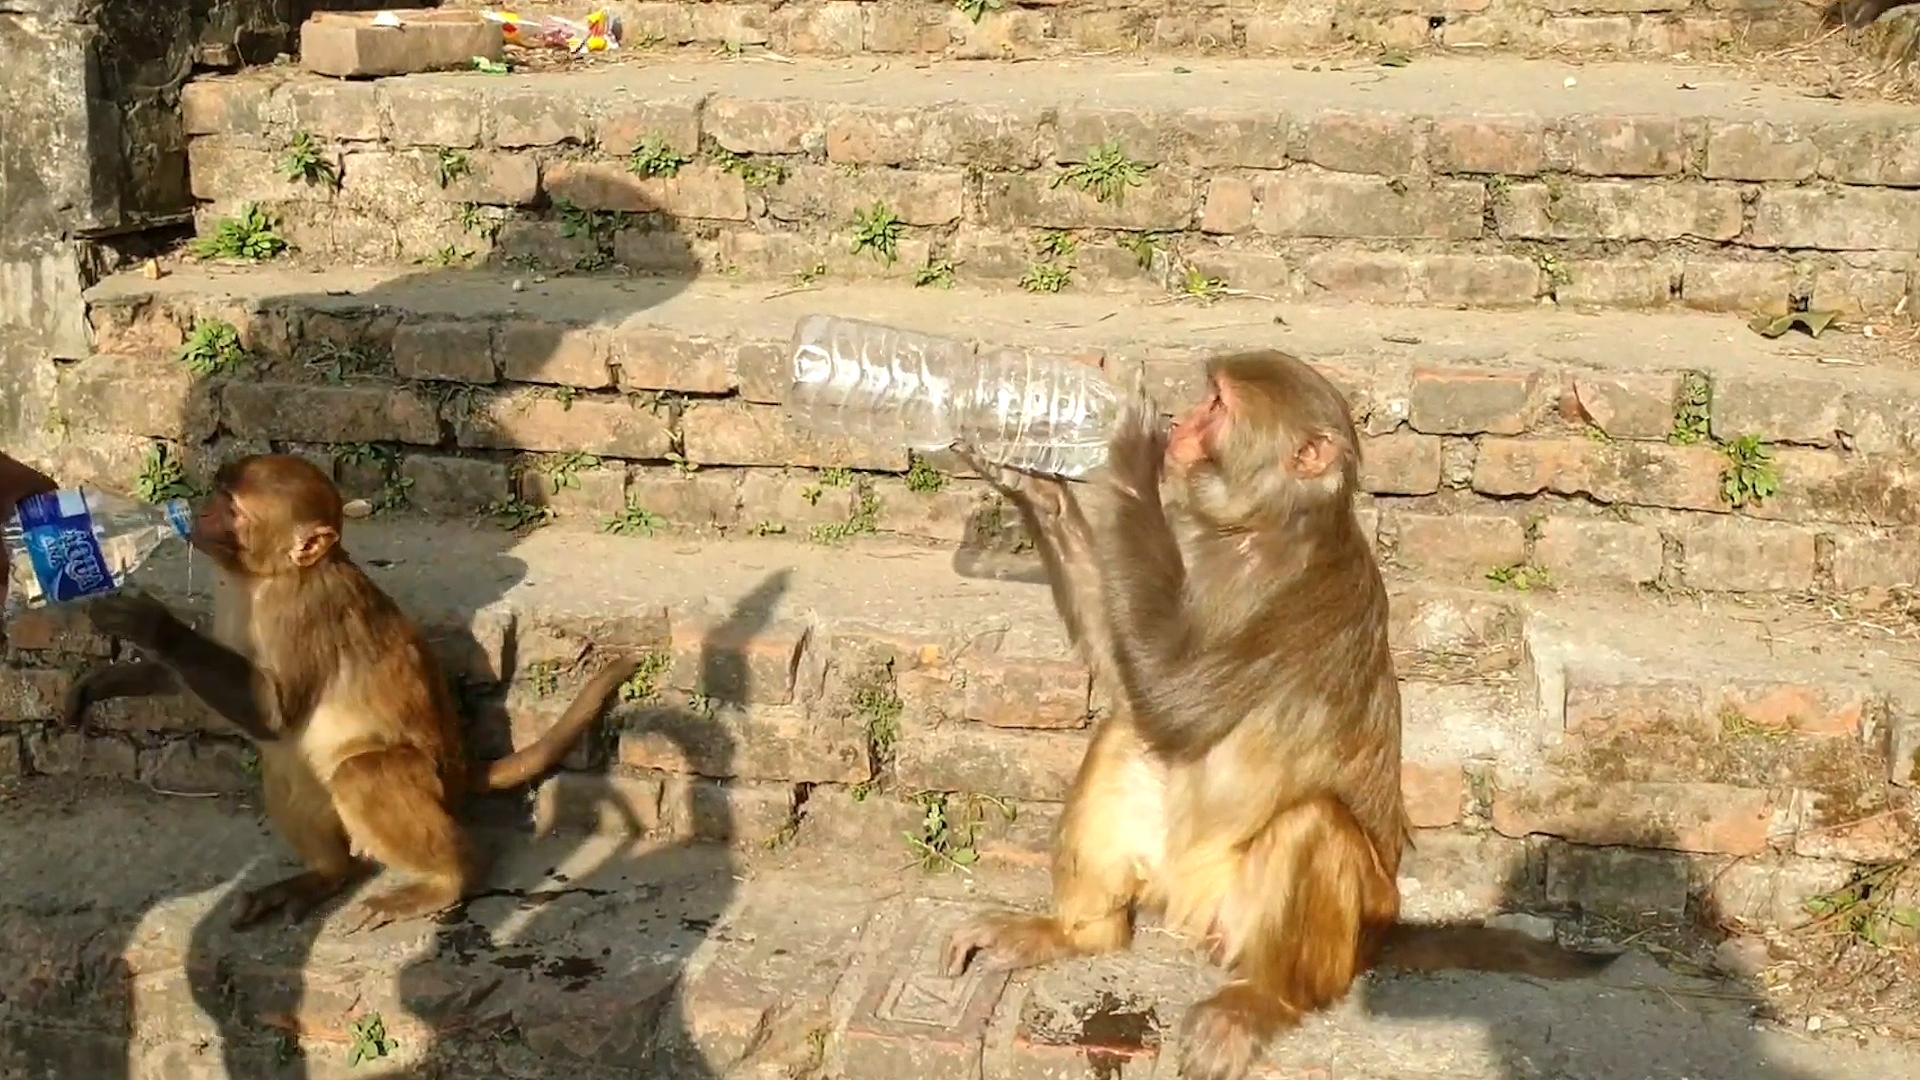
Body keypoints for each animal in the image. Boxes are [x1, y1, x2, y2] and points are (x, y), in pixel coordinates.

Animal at [64, 454, 641, 930]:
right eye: (218, 496)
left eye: (233, 510)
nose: (199, 514)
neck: (265, 578)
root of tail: (460, 772)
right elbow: (188, 681)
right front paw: (98, 684)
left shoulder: (301, 617)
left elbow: (272, 713)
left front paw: (153, 625)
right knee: (286, 765)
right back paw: (325, 876)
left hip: (429, 788)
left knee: (358, 772)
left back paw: (452, 878)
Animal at [946, 352, 1614, 1080]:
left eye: (1217, 405)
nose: (1182, 424)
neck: (1261, 531)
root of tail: (1379, 933)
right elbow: (1136, 693)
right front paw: (1033, 487)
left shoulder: (1303, 605)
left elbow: (1171, 706)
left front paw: (1124, 448)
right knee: (1123, 739)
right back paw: (1075, 936)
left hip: (1302, 934)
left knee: (1311, 826)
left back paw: (1265, 1000)